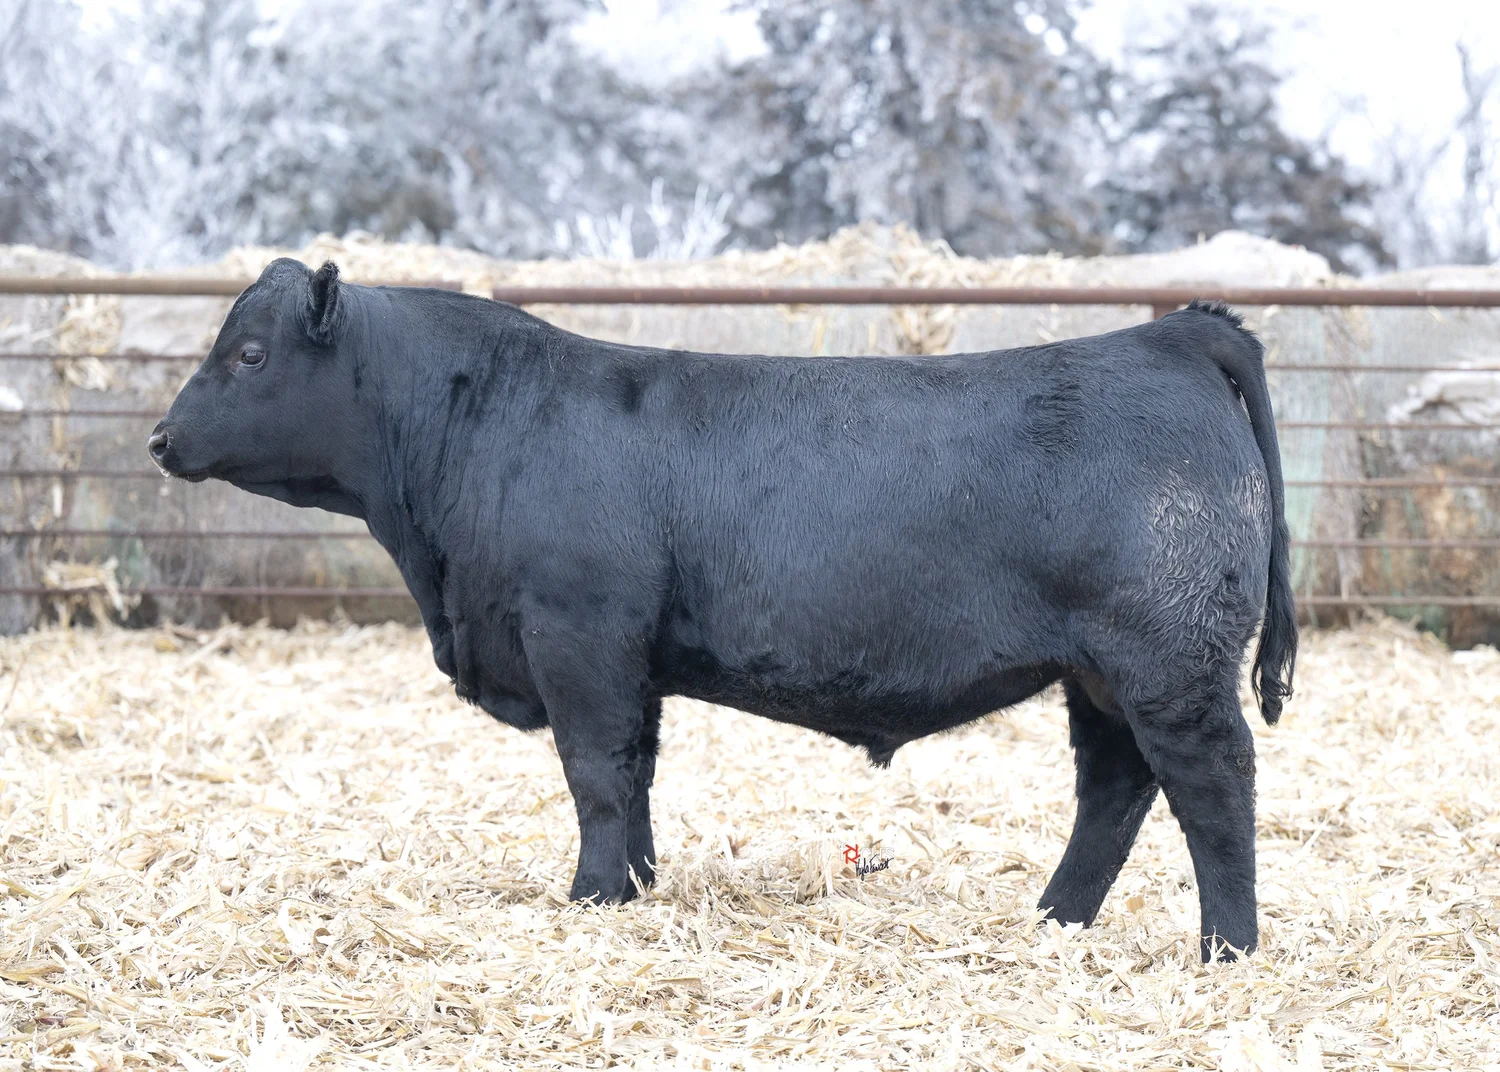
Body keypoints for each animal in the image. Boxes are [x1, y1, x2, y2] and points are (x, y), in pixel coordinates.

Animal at [149, 259, 1296, 962]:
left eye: (249, 354)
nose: (161, 439)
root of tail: (1173, 337)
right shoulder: (628, 659)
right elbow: (636, 774)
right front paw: (635, 883)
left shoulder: (577, 635)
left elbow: (595, 772)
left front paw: (592, 894)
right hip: (1101, 672)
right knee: (1115, 788)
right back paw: (1056, 918)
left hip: (1167, 659)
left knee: (1212, 783)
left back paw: (1226, 947)